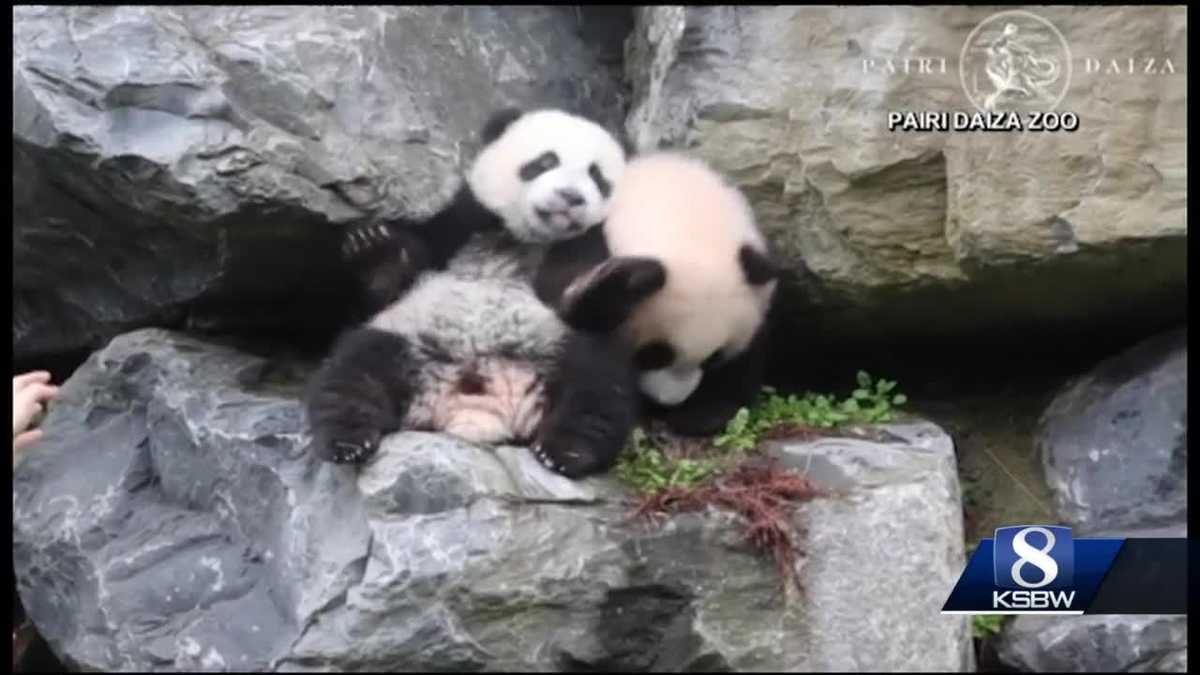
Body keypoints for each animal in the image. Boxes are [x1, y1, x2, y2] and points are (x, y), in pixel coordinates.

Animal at [304, 108, 640, 479]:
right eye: (545, 161)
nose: (571, 197)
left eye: (597, 176)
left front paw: (609, 281)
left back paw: (566, 451)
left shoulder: (585, 246)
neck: (523, 239)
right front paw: (375, 250)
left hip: (557, 345)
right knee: (352, 375)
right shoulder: (463, 224)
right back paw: (347, 442)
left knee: (597, 390)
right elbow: (398, 282)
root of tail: (474, 411)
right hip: (406, 339)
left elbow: (585, 300)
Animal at [534, 151, 780, 437]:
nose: (669, 402)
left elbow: (747, 358)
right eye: (653, 354)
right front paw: (622, 280)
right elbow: (568, 298)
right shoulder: (589, 239)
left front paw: (703, 413)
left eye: (713, 358)